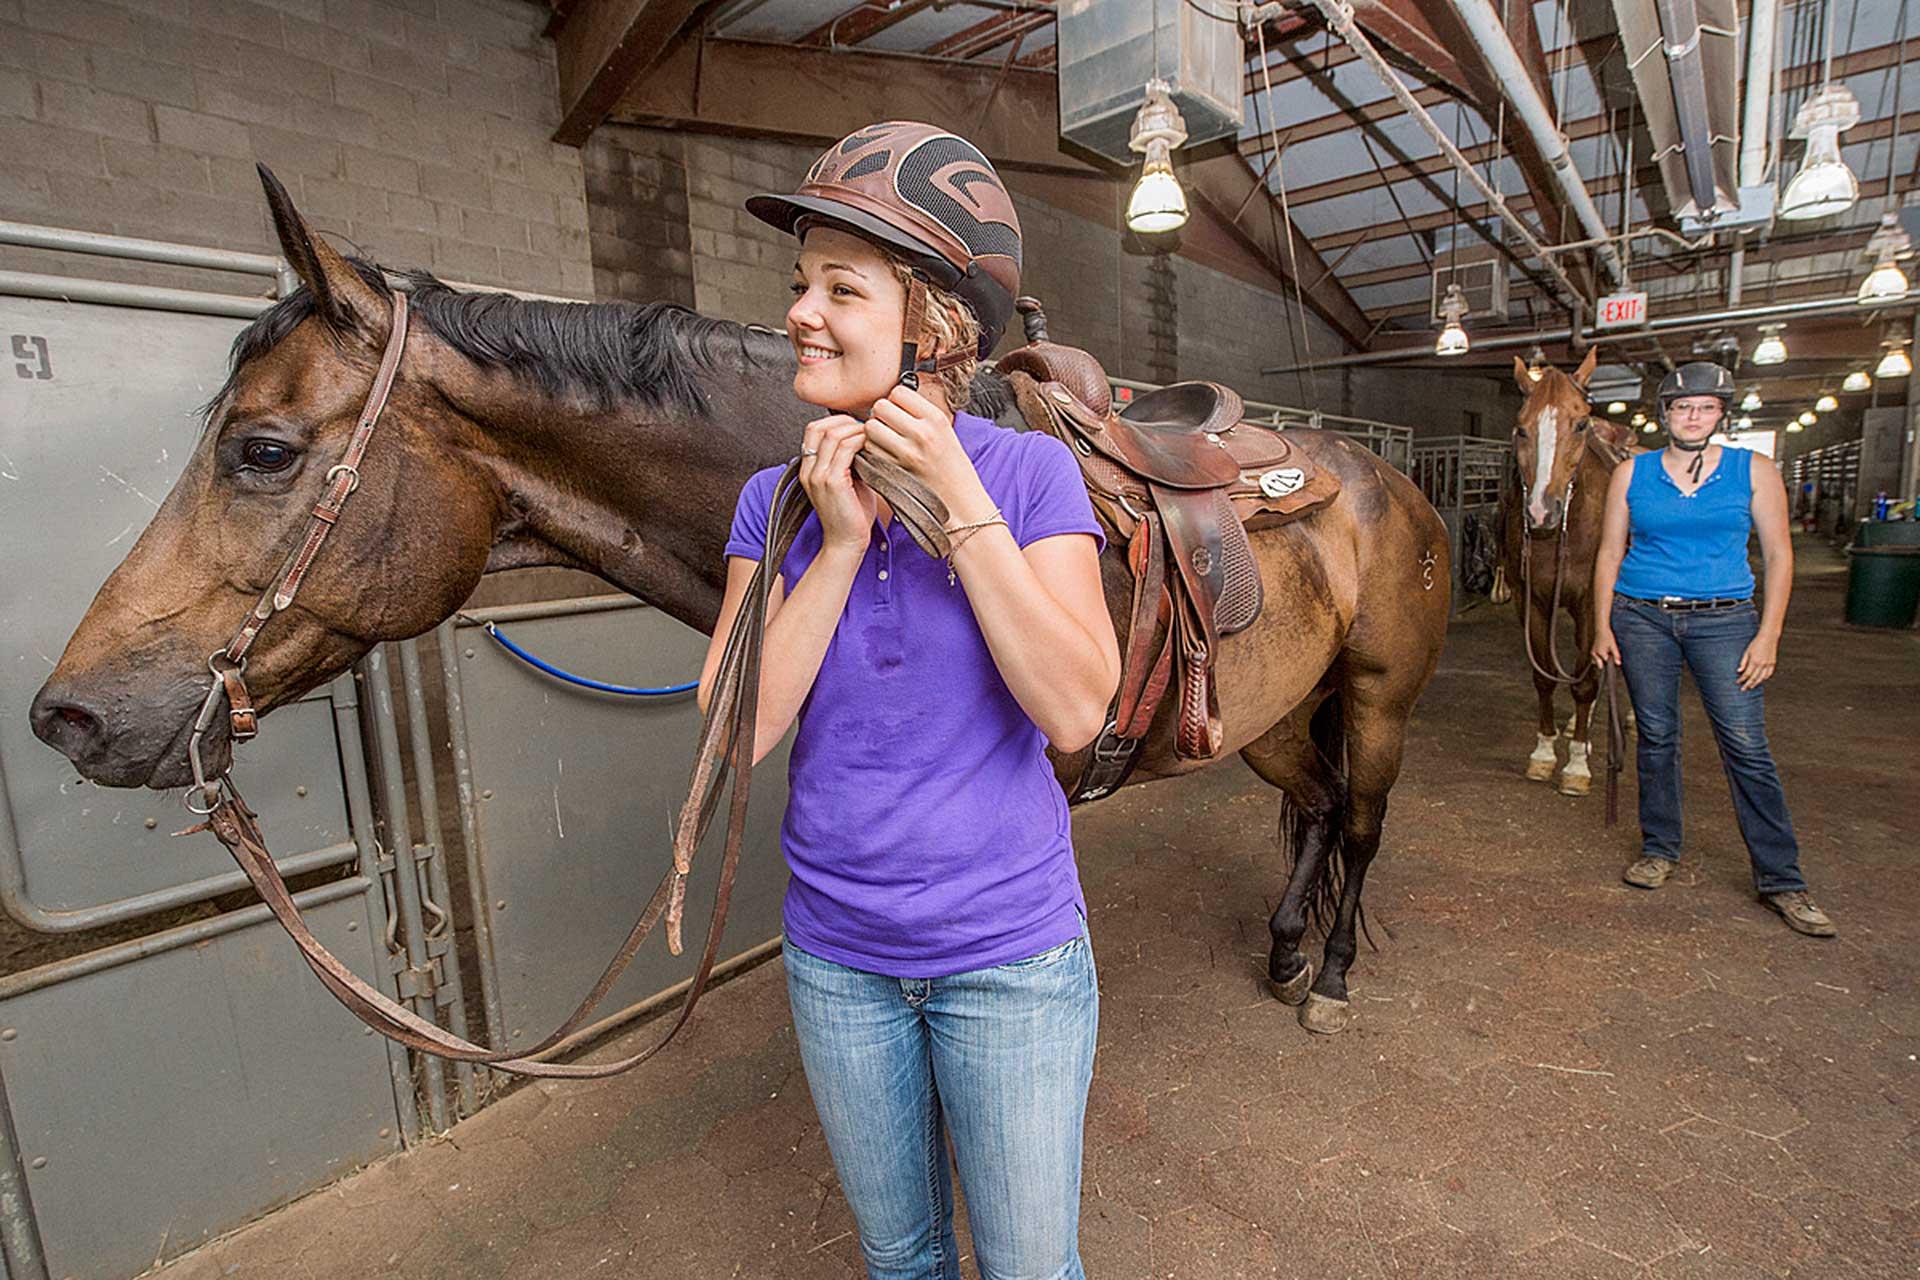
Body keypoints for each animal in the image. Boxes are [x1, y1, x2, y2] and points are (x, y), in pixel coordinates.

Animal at [29, 167, 1451, 1038]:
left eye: (262, 449)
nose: (69, 715)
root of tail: (1390, 478)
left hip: (1378, 700)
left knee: (1361, 820)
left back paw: (1329, 974)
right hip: (1276, 710)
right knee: (1312, 809)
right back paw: (1283, 946)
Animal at [1493, 350, 1633, 796]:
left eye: (1581, 423)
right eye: (1521, 427)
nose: (1542, 511)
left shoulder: (1591, 602)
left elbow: (1585, 681)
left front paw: (1576, 765)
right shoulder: (1530, 599)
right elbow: (1545, 676)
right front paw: (1543, 753)